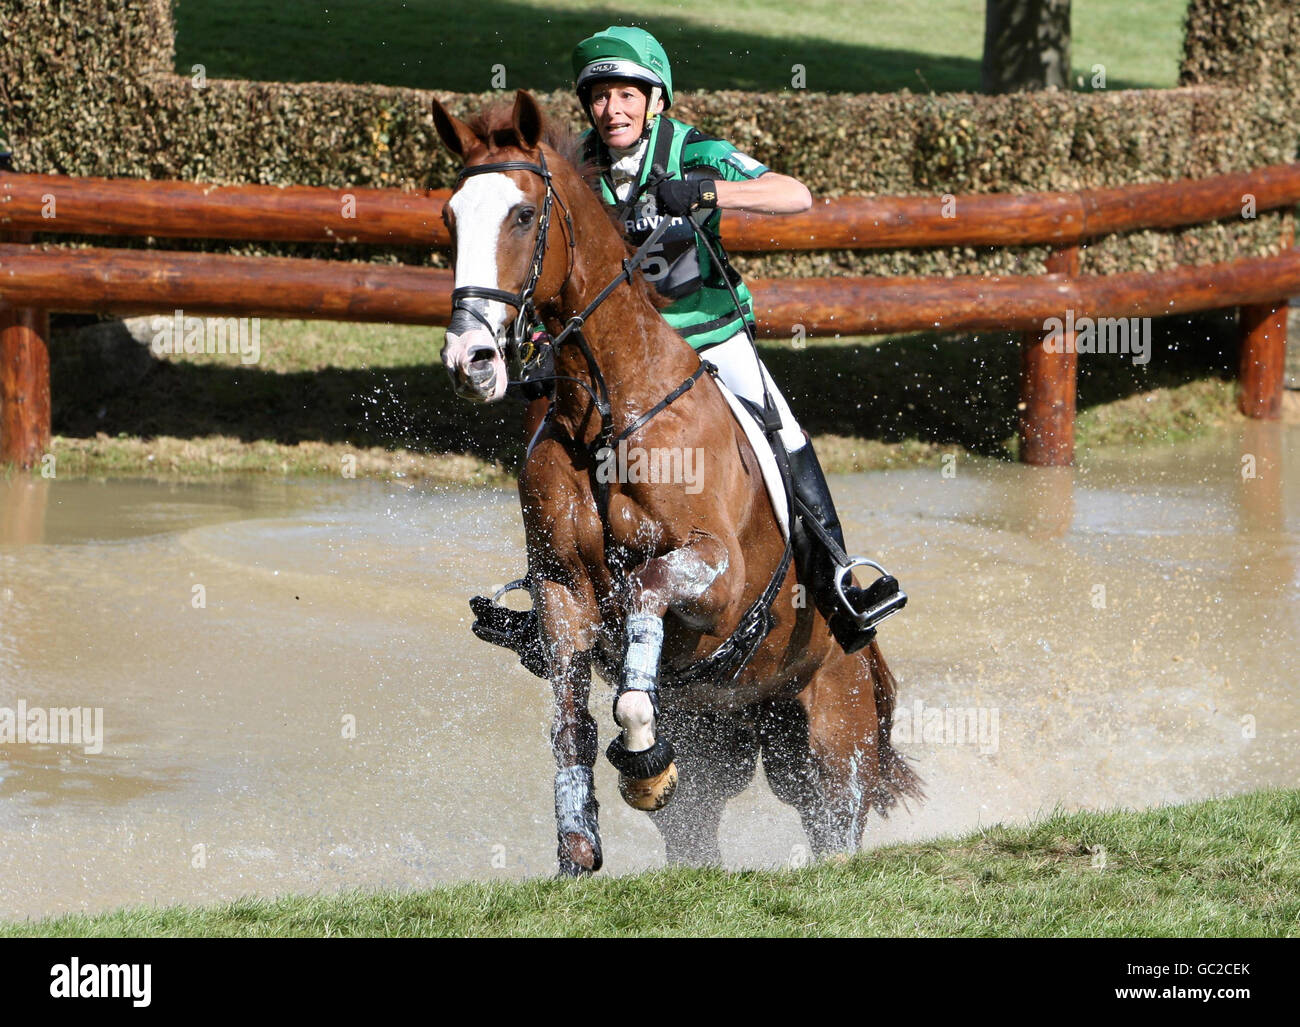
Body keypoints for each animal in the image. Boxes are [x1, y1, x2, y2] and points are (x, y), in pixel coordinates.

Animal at [431, 90, 921, 874]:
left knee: (834, 827)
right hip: (725, 745)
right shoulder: (561, 586)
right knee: (697, 832)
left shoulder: (717, 572)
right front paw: (578, 846)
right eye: (450, 218)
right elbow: (570, 724)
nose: (470, 358)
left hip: (830, 745)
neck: (600, 405)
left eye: (524, 215)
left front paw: (640, 758)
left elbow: (645, 594)